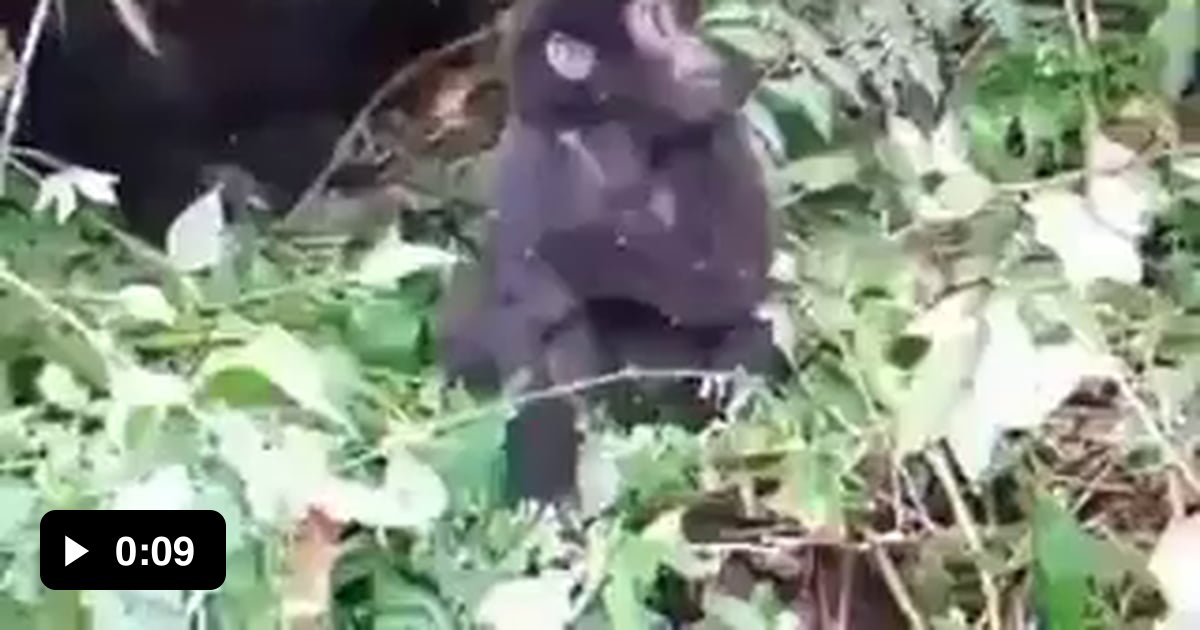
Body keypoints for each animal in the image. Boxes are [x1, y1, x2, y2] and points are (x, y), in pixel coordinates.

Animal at [440, 0, 774, 502]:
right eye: (651, 20)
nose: (696, 47)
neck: (610, 123)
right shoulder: (531, 149)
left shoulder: (715, 128)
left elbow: (736, 277)